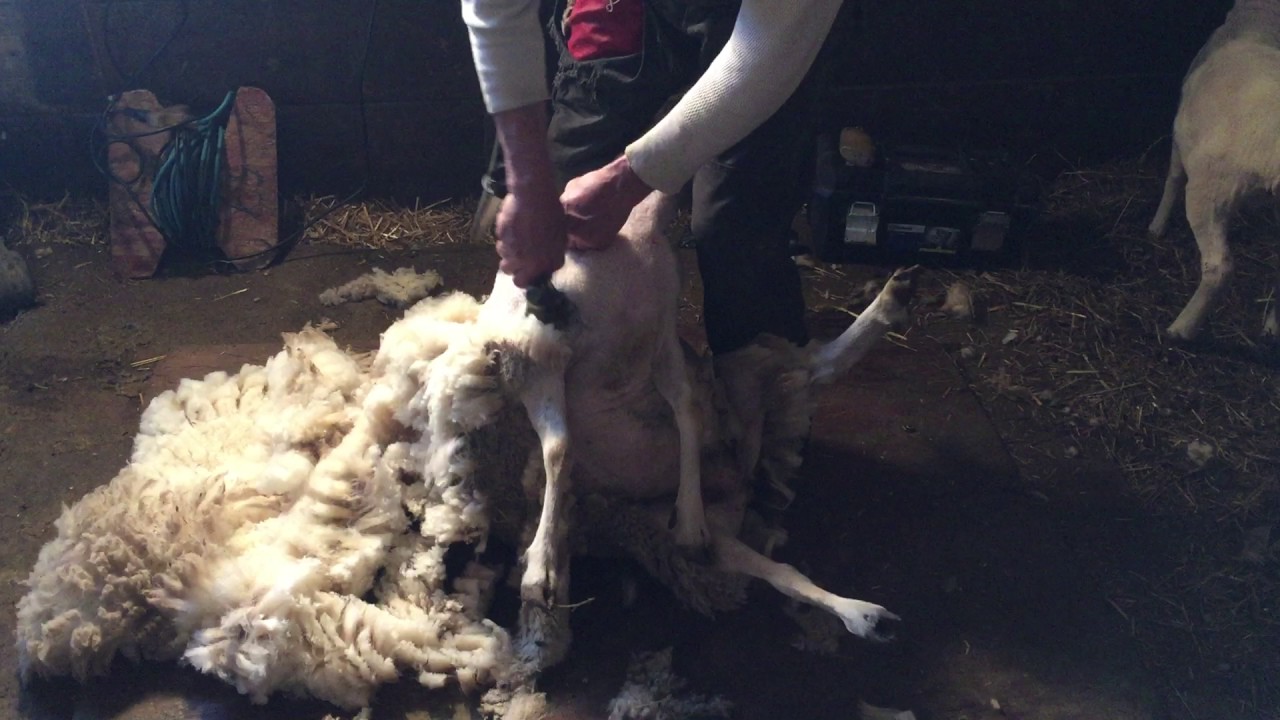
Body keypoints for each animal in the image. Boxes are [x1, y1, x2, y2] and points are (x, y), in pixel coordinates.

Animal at [1149, 0, 1280, 340]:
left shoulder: (1180, 130)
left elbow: (1173, 176)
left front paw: (1156, 226)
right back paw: (1272, 326)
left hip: (1210, 188)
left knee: (1219, 268)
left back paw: (1180, 330)